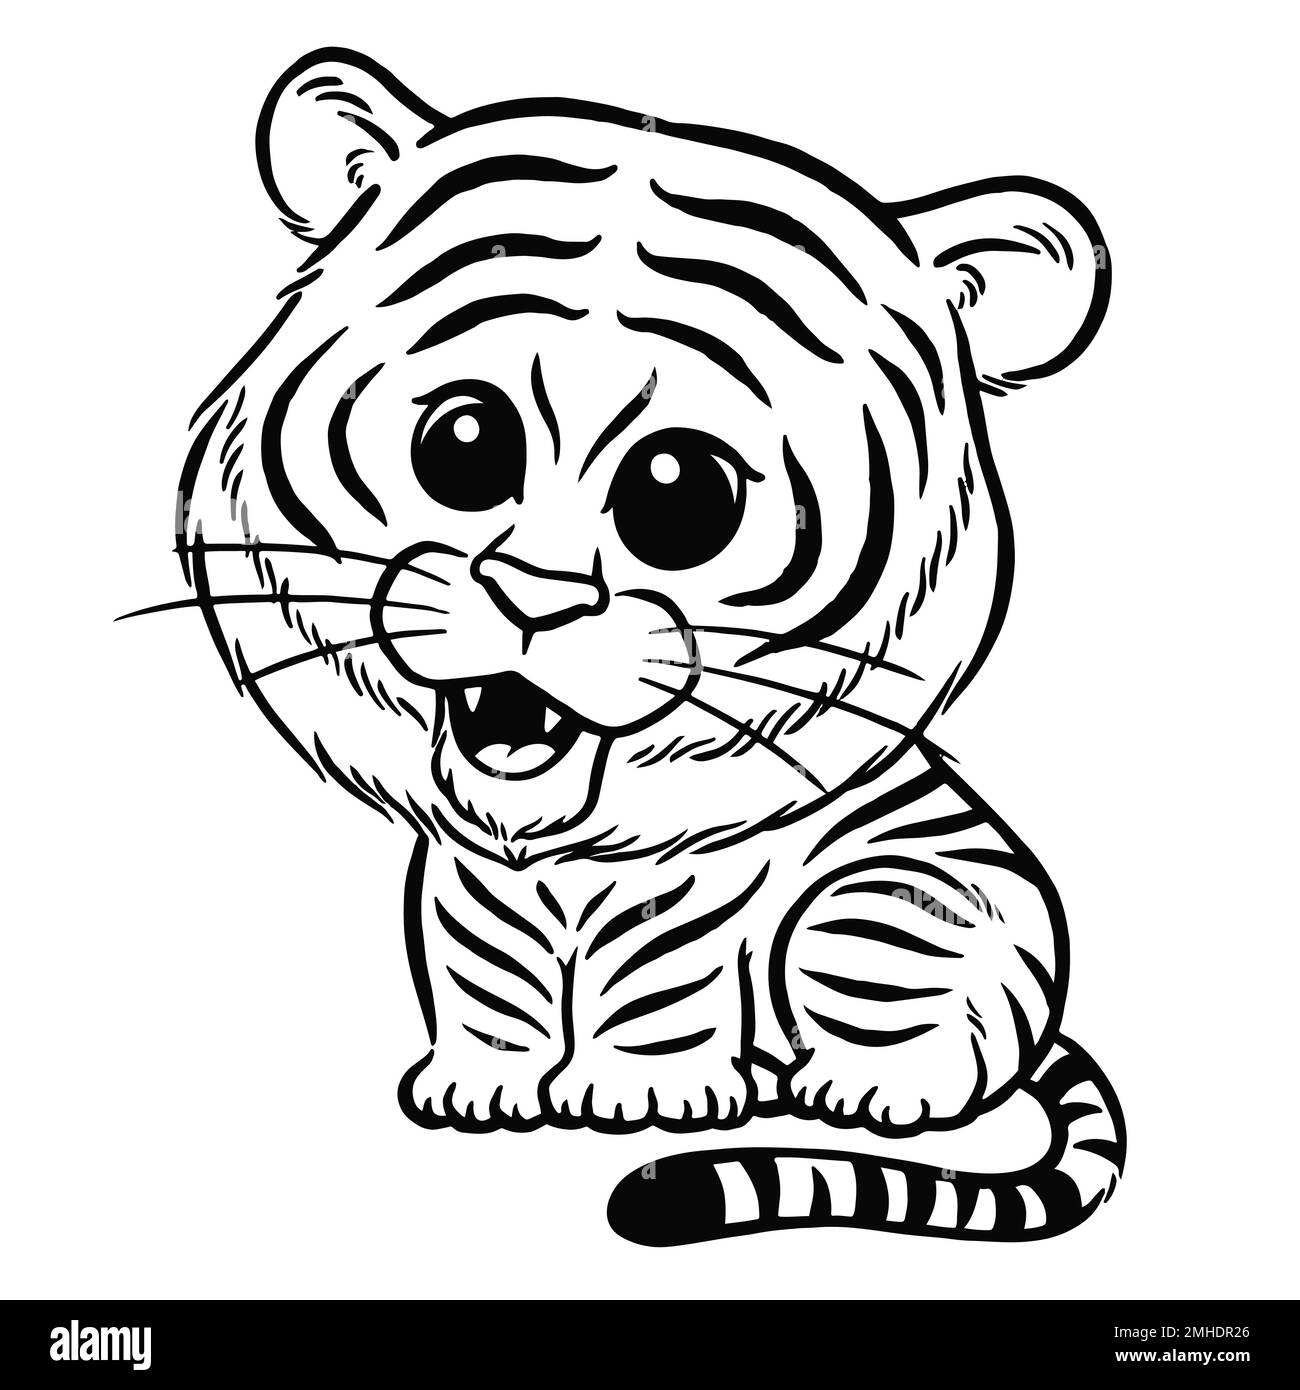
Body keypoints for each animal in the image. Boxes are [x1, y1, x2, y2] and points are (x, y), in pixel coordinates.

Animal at [158, 46, 1125, 1245]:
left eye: (680, 490)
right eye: (463, 441)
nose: (535, 599)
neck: (557, 853)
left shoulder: (705, 873)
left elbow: (655, 978)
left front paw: (641, 1096)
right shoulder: (465, 877)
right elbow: (485, 972)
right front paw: (485, 1085)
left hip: (884, 910)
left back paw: (857, 1088)